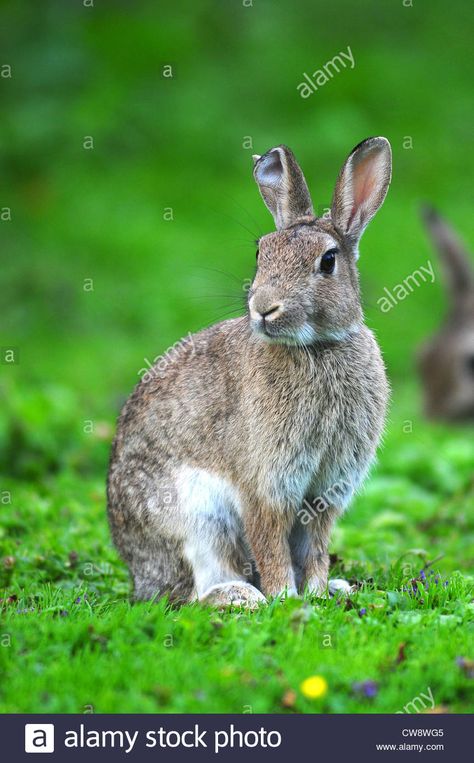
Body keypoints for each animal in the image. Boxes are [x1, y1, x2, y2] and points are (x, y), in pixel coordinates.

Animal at [107, 137, 392, 608]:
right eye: (261, 252)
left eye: (328, 261)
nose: (263, 308)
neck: (315, 348)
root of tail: (140, 575)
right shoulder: (264, 486)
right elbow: (271, 544)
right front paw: (285, 598)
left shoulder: (324, 492)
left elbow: (314, 548)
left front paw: (316, 594)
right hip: (197, 517)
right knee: (192, 593)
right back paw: (243, 597)